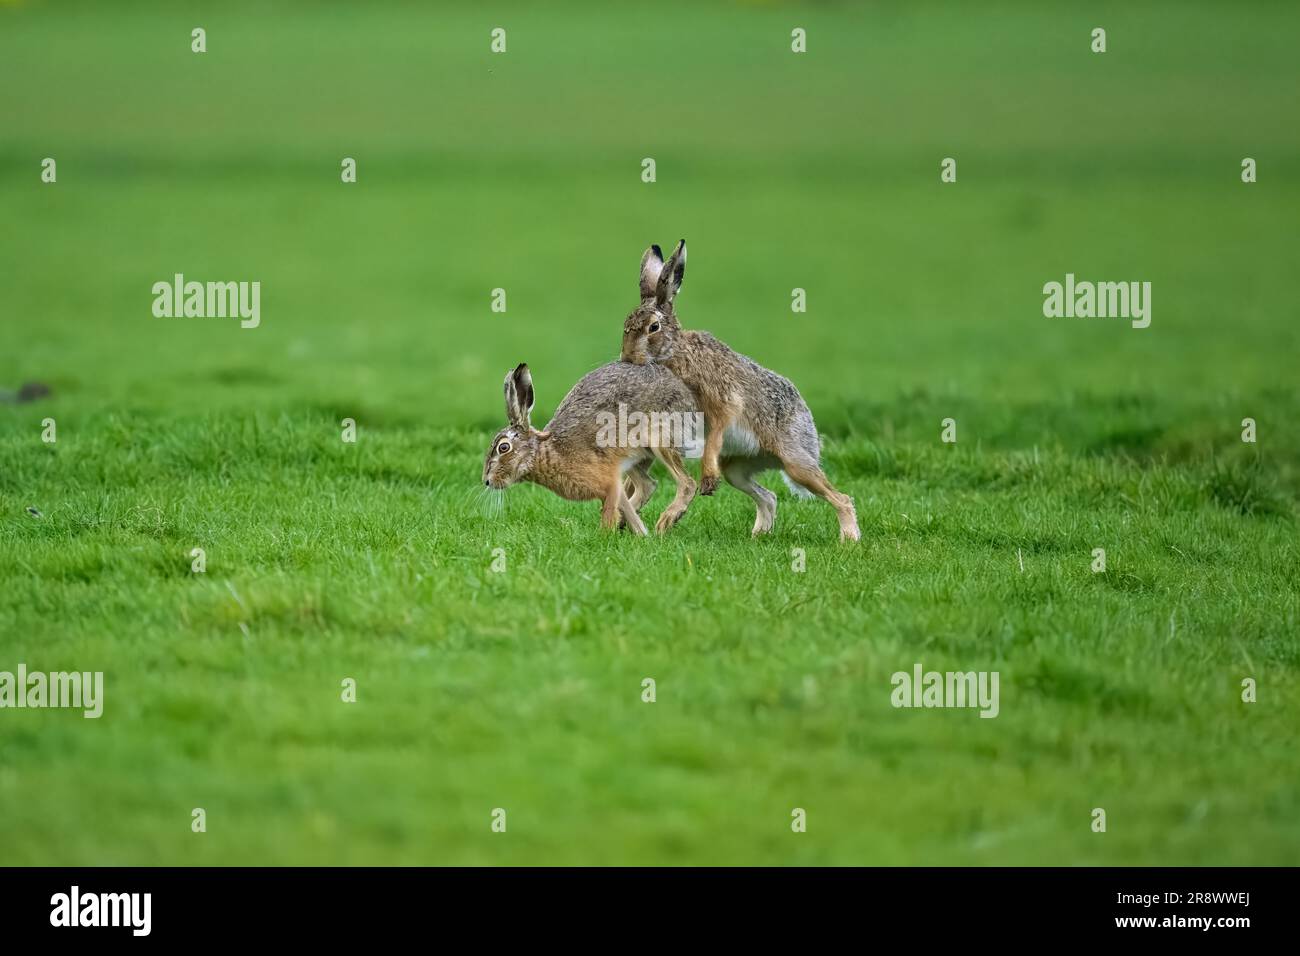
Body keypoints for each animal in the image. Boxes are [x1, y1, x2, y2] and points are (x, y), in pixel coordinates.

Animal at [483, 362, 699, 535]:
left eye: (503, 447)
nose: (487, 481)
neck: (544, 453)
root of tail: (687, 397)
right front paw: (641, 534)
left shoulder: (609, 482)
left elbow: (610, 510)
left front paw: (606, 534)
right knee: (648, 485)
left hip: (659, 440)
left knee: (688, 483)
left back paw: (666, 521)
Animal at [620, 240, 860, 542]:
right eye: (625, 325)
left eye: (654, 327)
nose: (627, 358)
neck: (676, 353)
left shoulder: (723, 403)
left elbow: (716, 434)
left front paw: (707, 481)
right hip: (737, 469)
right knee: (768, 496)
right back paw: (759, 535)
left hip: (796, 462)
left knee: (840, 497)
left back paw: (849, 538)